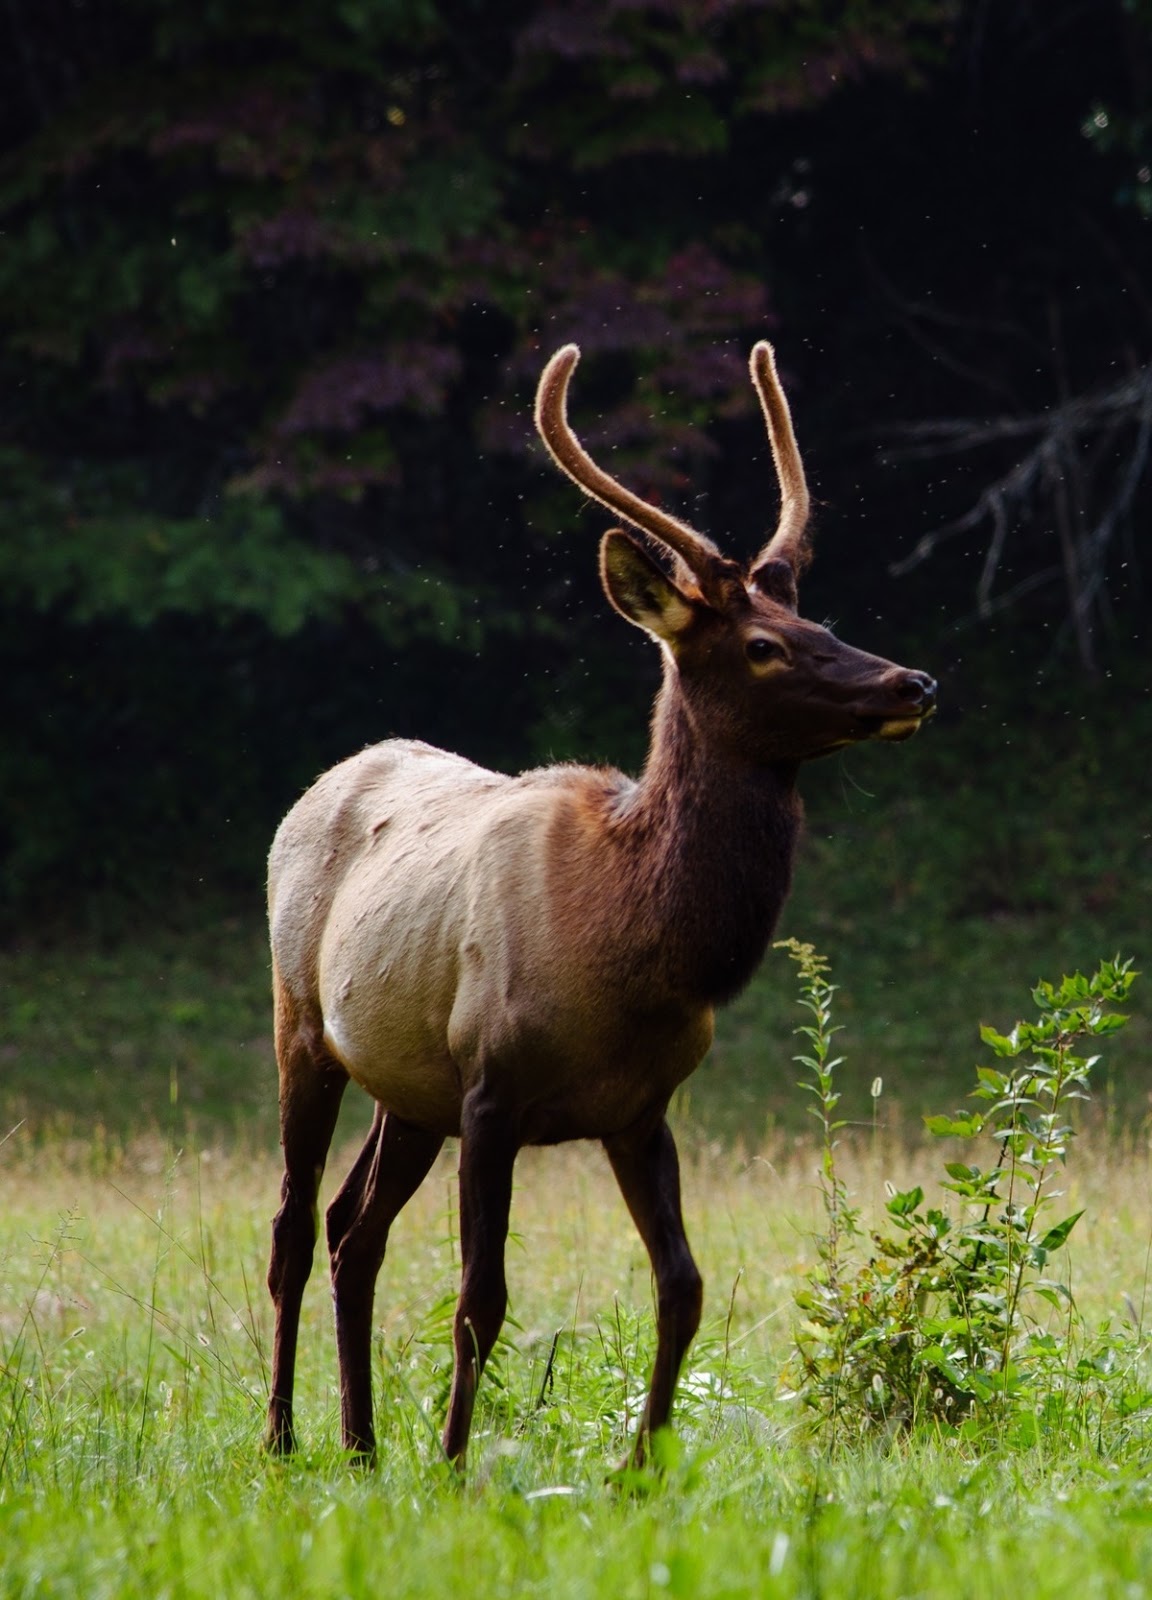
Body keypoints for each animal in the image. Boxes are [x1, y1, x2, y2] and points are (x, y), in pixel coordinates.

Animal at [264, 339, 936, 1471]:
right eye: (760, 646)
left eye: (819, 620)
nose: (912, 683)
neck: (634, 949)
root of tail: (320, 783)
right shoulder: (492, 1087)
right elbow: (479, 1299)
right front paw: (454, 1463)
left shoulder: (641, 1107)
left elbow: (684, 1287)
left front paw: (644, 1464)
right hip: (303, 1024)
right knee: (292, 1228)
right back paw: (280, 1436)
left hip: (409, 1086)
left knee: (356, 1230)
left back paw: (360, 1444)